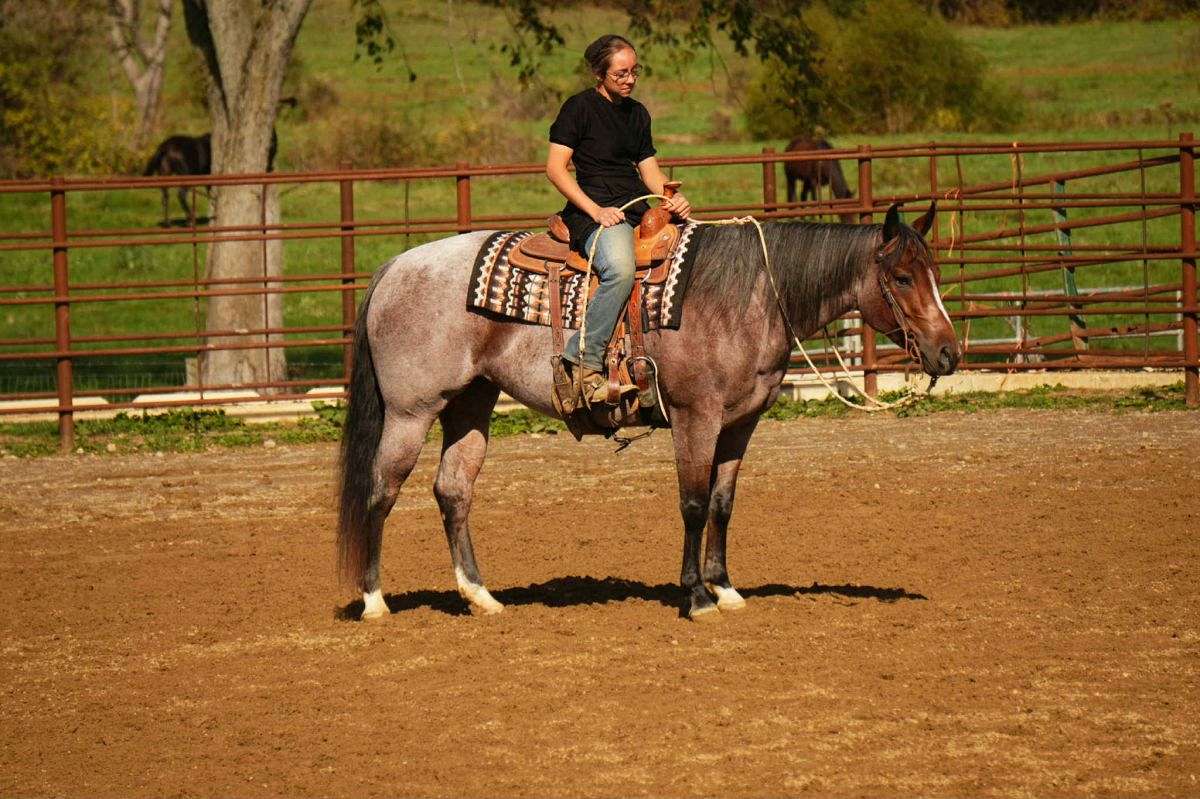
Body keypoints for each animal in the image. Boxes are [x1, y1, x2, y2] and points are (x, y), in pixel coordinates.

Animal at [336, 203, 960, 621]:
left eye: (934, 273)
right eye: (902, 276)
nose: (949, 353)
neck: (748, 296)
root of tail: (394, 267)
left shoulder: (741, 423)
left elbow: (722, 503)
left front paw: (726, 587)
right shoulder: (695, 416)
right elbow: (692, 503)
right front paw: (697, 596)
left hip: (471, 402)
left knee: (453, 490)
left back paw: (481, 596)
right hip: (411, 411)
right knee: (381, 491)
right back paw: (374, 601)